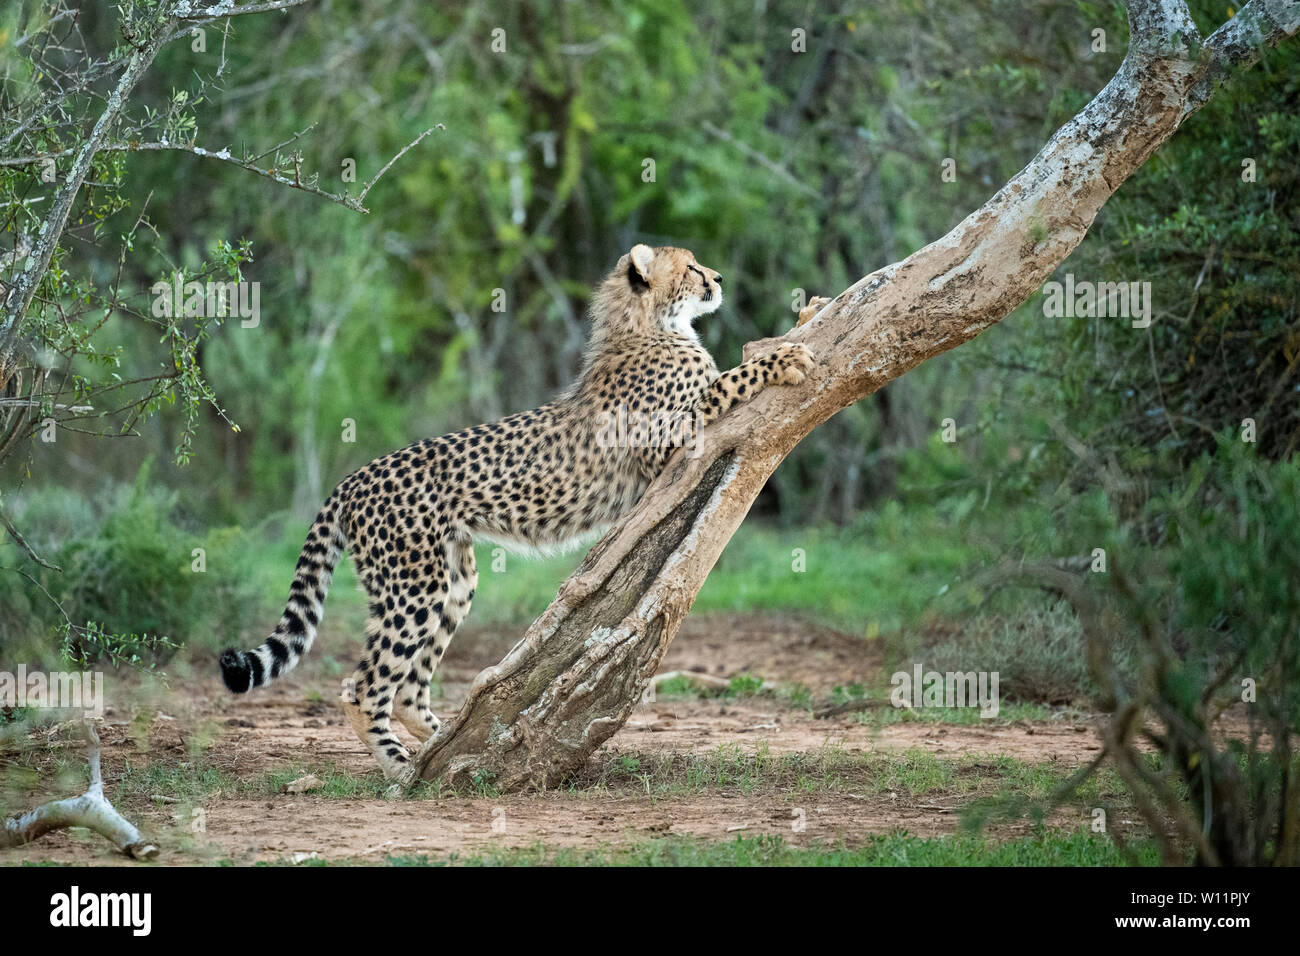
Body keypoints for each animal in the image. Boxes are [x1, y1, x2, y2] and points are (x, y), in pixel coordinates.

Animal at [219, 244, 817, 781]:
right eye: (690, 266)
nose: (717, 279)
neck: (647, 325)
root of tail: (353, 477)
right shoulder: (664, 445)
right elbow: (726, 382)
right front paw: (783, 359)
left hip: (453, 581)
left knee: (409, 688)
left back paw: (450, 744)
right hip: (413, 589)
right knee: (363, 688)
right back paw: (400, 767)